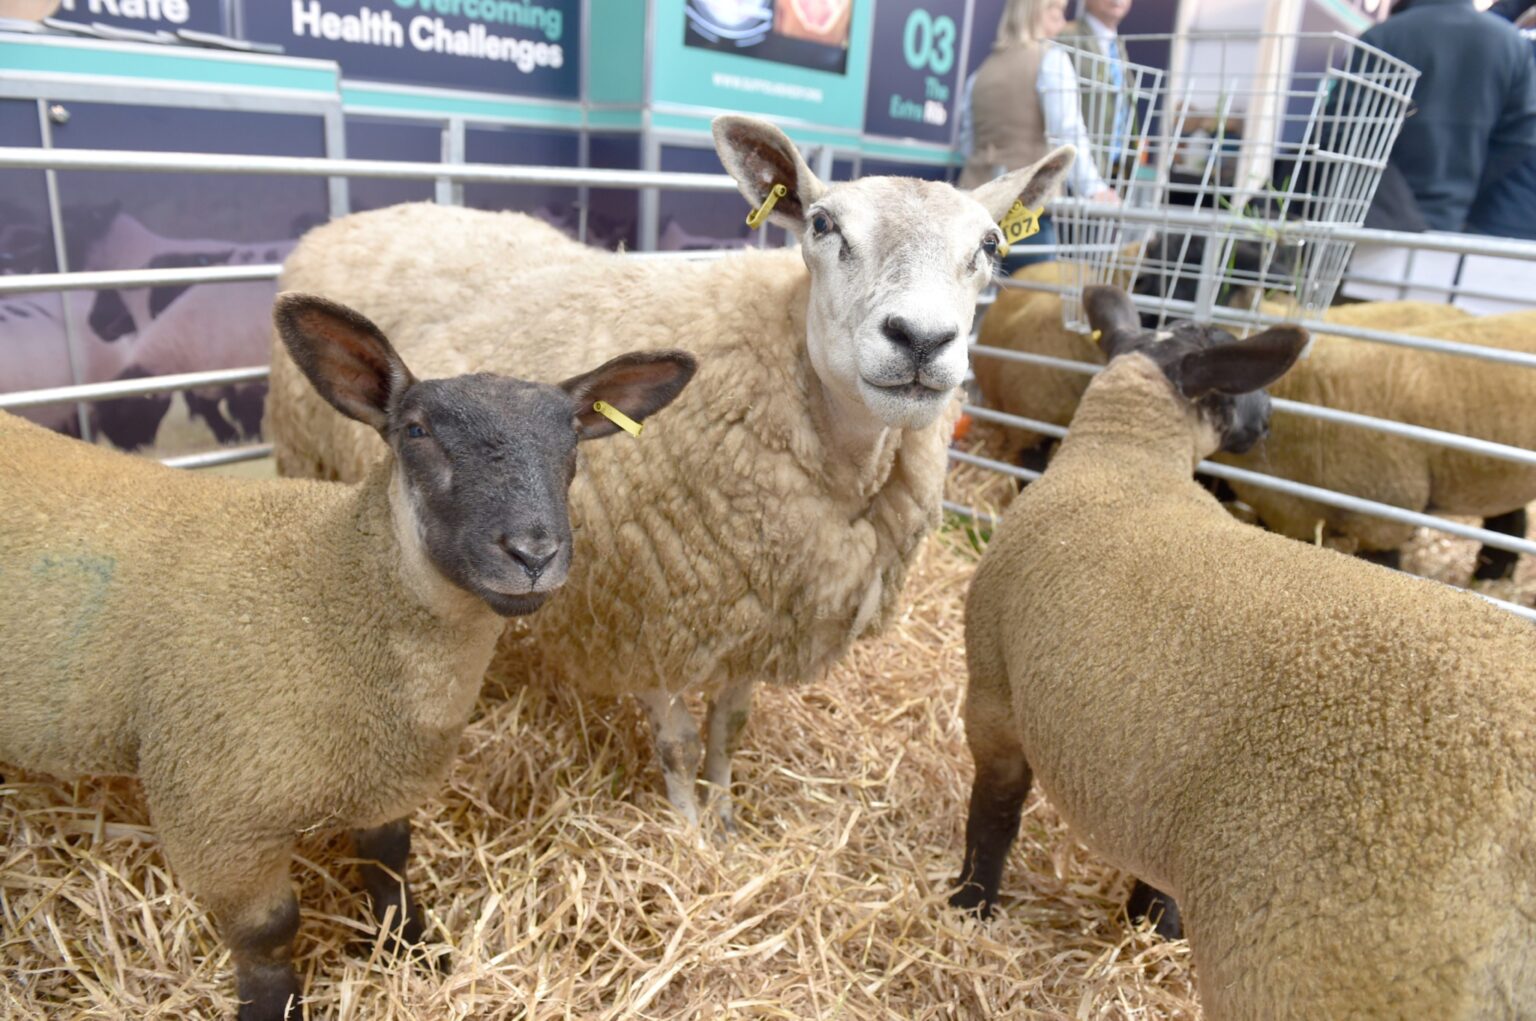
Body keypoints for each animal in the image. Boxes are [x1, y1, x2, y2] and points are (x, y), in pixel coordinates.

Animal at [0, 292, 696, 1021]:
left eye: (571, 442)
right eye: (416, 430)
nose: (533, 552)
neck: (334, 584)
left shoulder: (385, 779)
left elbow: (389, 864)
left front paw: (412, 945)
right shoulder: (216, 817)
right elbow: (268, 931)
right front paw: (271, 1003)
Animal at [264, 114, 1076, 830]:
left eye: (991, 244)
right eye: (822, 226)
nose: (921, 339)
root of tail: (365, 215)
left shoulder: (770, 610)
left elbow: (729, 726)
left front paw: (725, 815)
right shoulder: (644, 616)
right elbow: (680, 740)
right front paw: (687, 829)